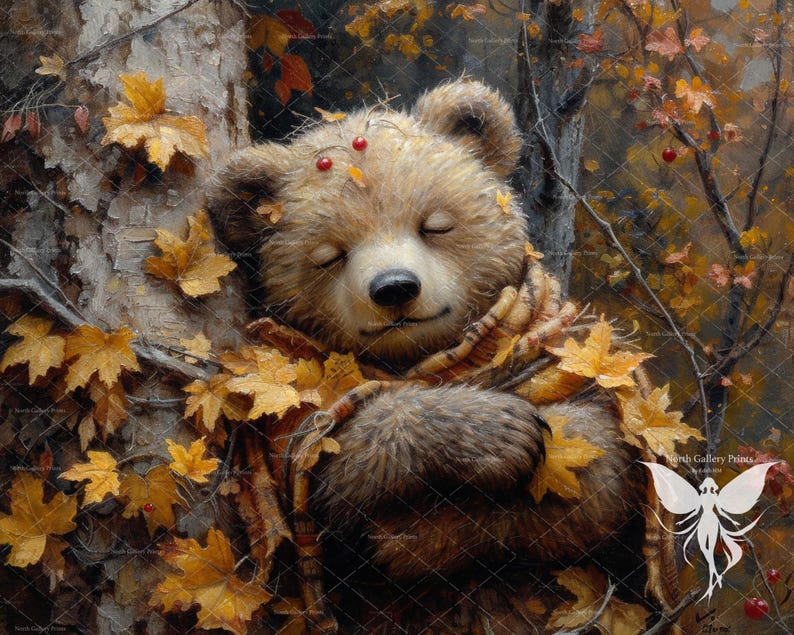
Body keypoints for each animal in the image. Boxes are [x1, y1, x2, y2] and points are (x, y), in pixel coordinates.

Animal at [207, 80, 649, 633]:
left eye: (435, 225)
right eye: (330, 254)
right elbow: (316, 469)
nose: (394, 287)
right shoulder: (286, 388)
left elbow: (603, 460)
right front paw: (493, 434)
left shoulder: (570, 347)